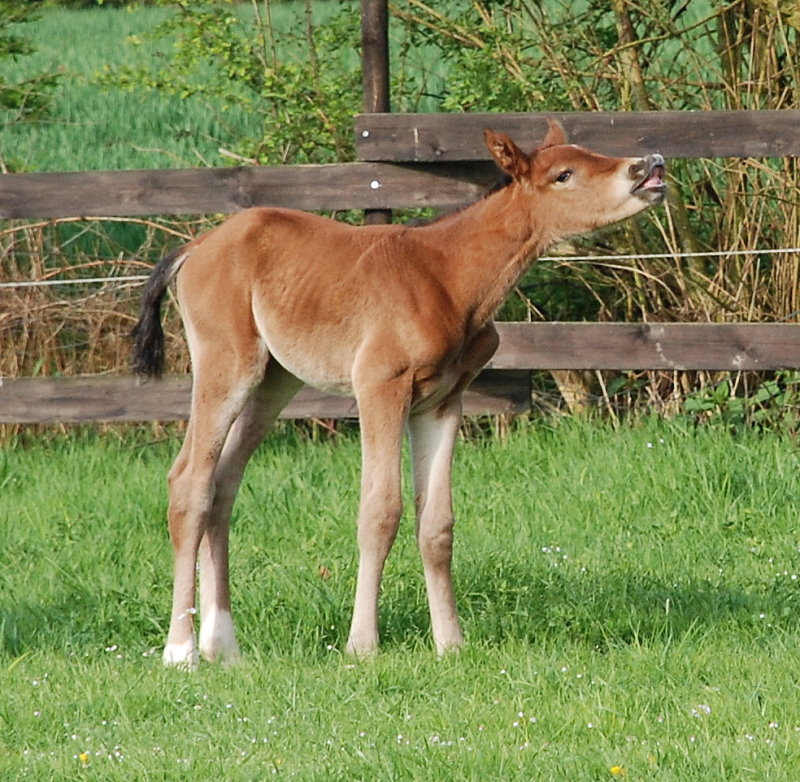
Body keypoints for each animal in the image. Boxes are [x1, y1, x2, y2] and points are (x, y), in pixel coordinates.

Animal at [132, 119, 666, 669]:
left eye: (590, 151)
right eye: (563, 174)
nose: (648, 166)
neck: (449, 279)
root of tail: (194, 248)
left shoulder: (442, 401)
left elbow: (437, 524)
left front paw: (451, 644)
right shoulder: (380, 385)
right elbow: (380, 511)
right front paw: (362, 644)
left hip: (275, 379)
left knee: (223, 485)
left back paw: (224, 646)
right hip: (227, 364)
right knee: (189, 482)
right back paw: (182, 650)